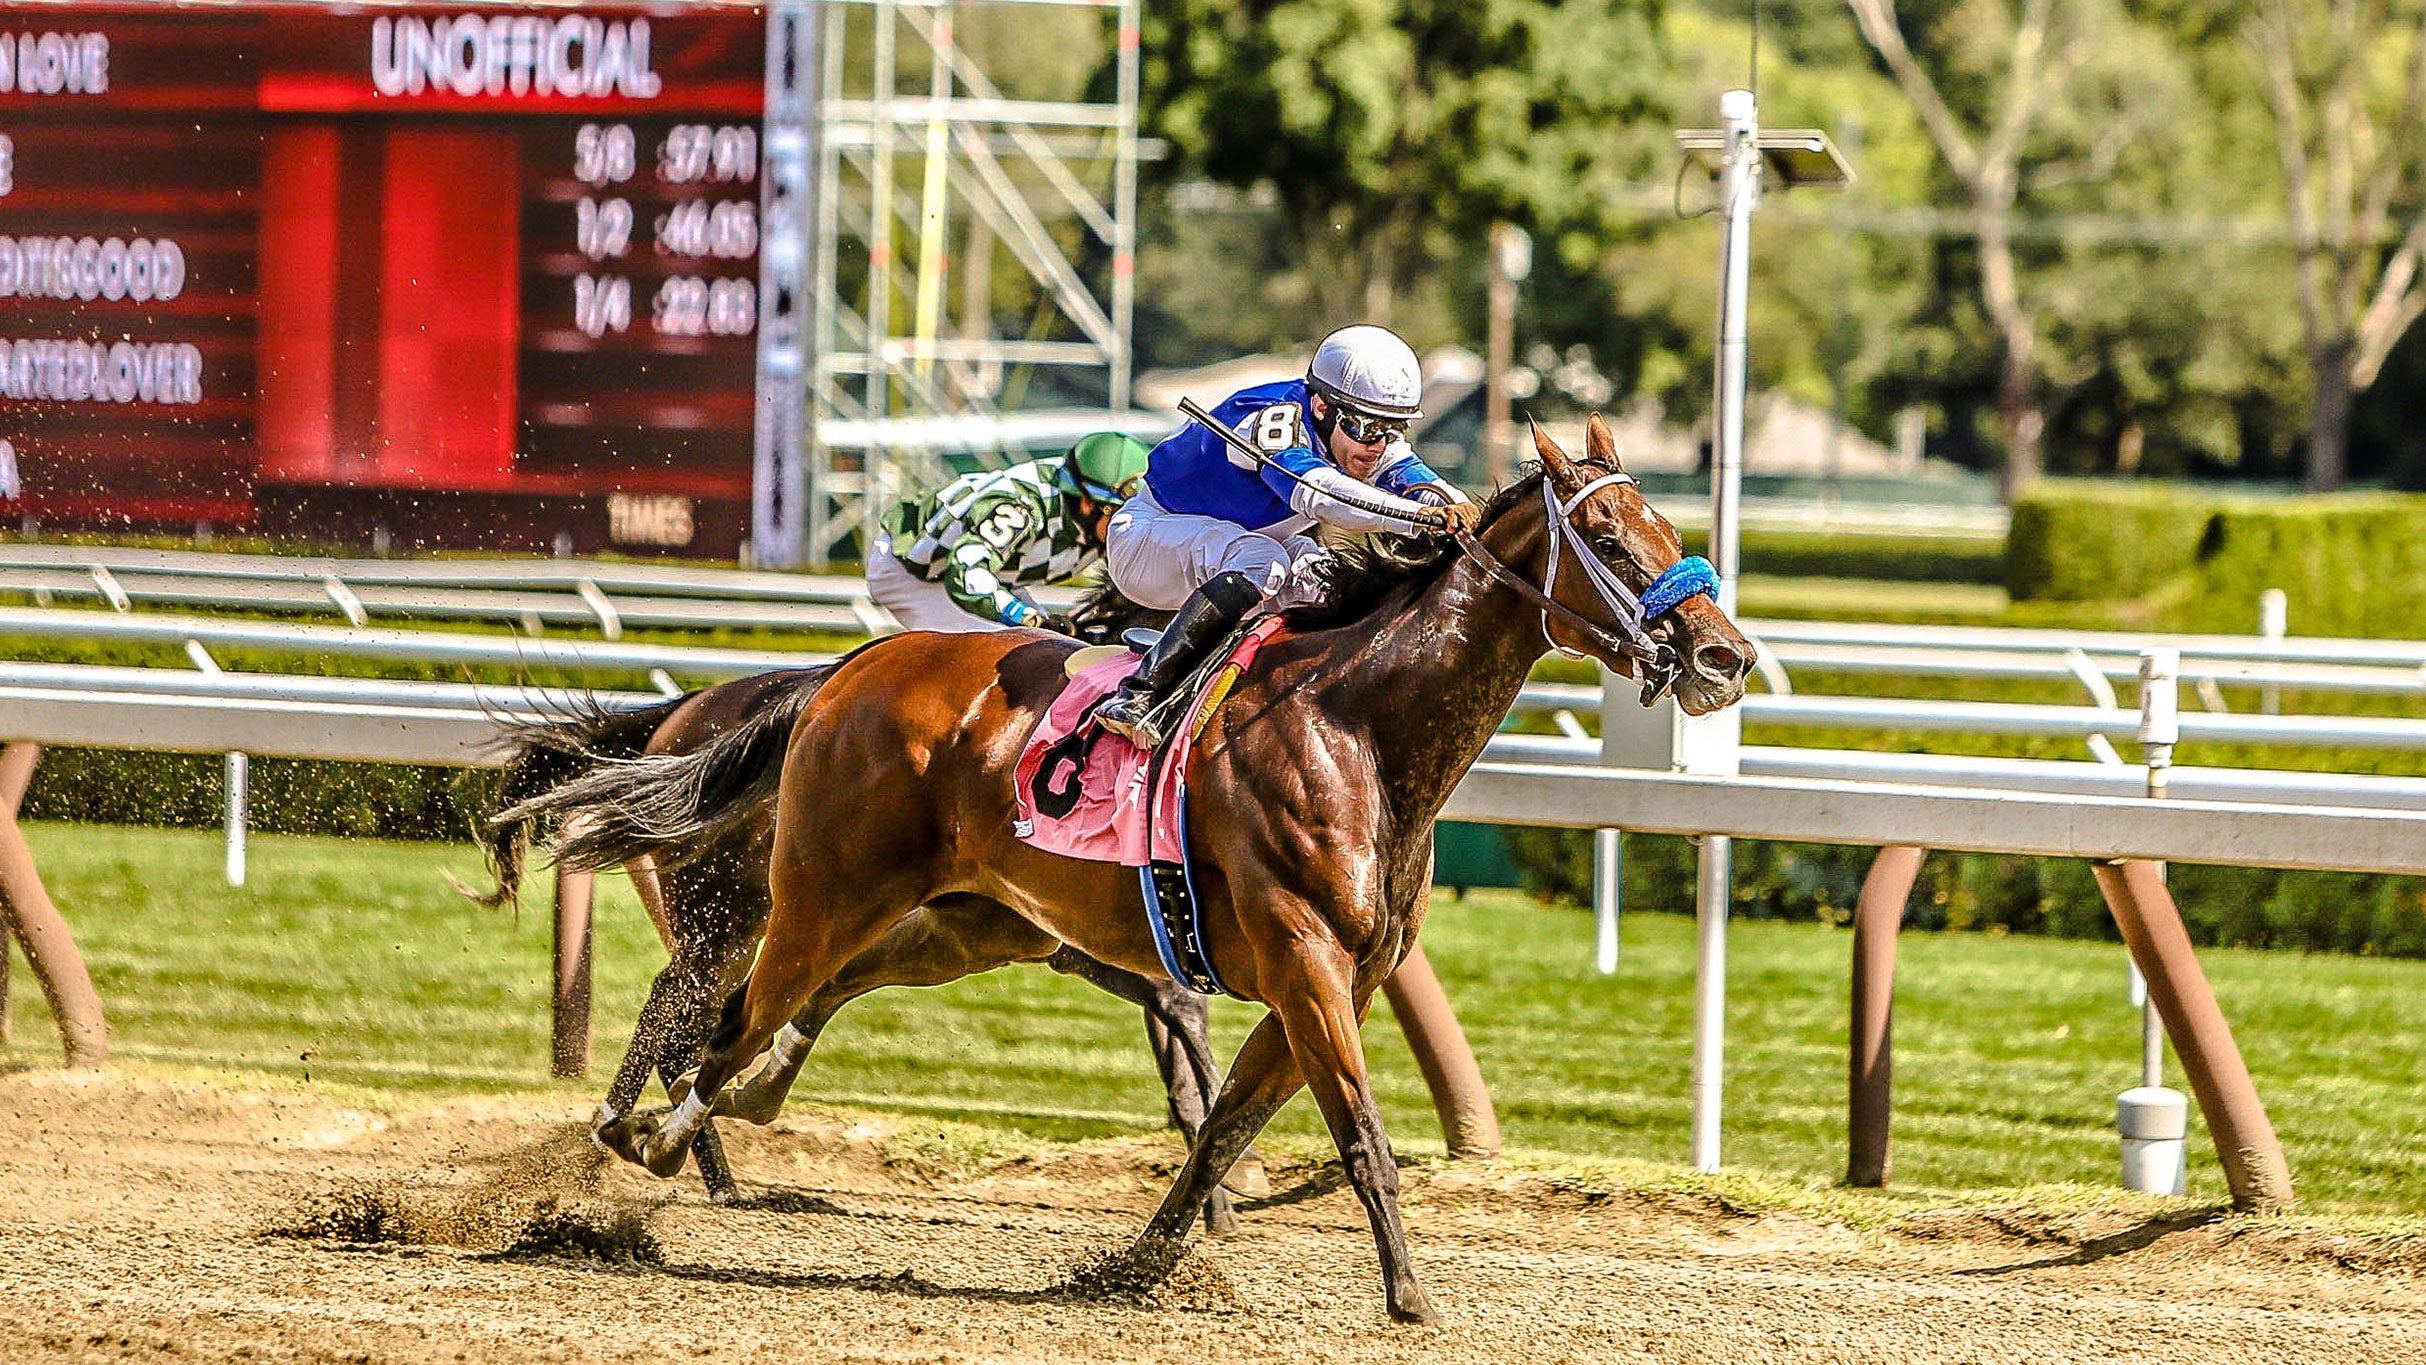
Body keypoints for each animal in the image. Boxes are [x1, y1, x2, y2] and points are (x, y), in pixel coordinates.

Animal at [560, 421, 1756, 1328]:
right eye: (1604, 533)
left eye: (1669, 527)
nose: (1725, 656)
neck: (1353, 727)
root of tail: (846, 670)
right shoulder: (1306, 962)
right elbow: (1359, 1136)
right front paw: (1410, 1295)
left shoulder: (1330, 980)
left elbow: (1223, 1129)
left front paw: (1137, 1267)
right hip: (824, 891)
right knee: (725, 1011)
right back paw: (645, 1139)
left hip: (966, 920)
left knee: (794, 1005)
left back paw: (722, 1110)